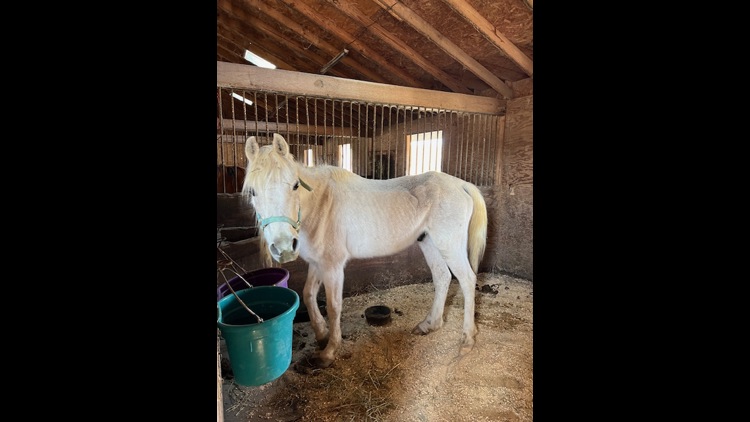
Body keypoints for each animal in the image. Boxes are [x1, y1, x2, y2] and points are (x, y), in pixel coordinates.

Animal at [242, 133, 488, 368]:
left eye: (295, 185)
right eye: (252, 192)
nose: (284, 247)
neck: (322, 206)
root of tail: (462, 185)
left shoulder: (333, 266)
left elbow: (333, 306)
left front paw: (329, 352)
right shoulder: (317, 263)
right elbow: (309, 294)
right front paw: (321, 335)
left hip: (449, 245)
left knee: (467, 280)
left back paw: (467, 339)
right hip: (429, 242)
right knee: (442, 277)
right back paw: (429, 325)